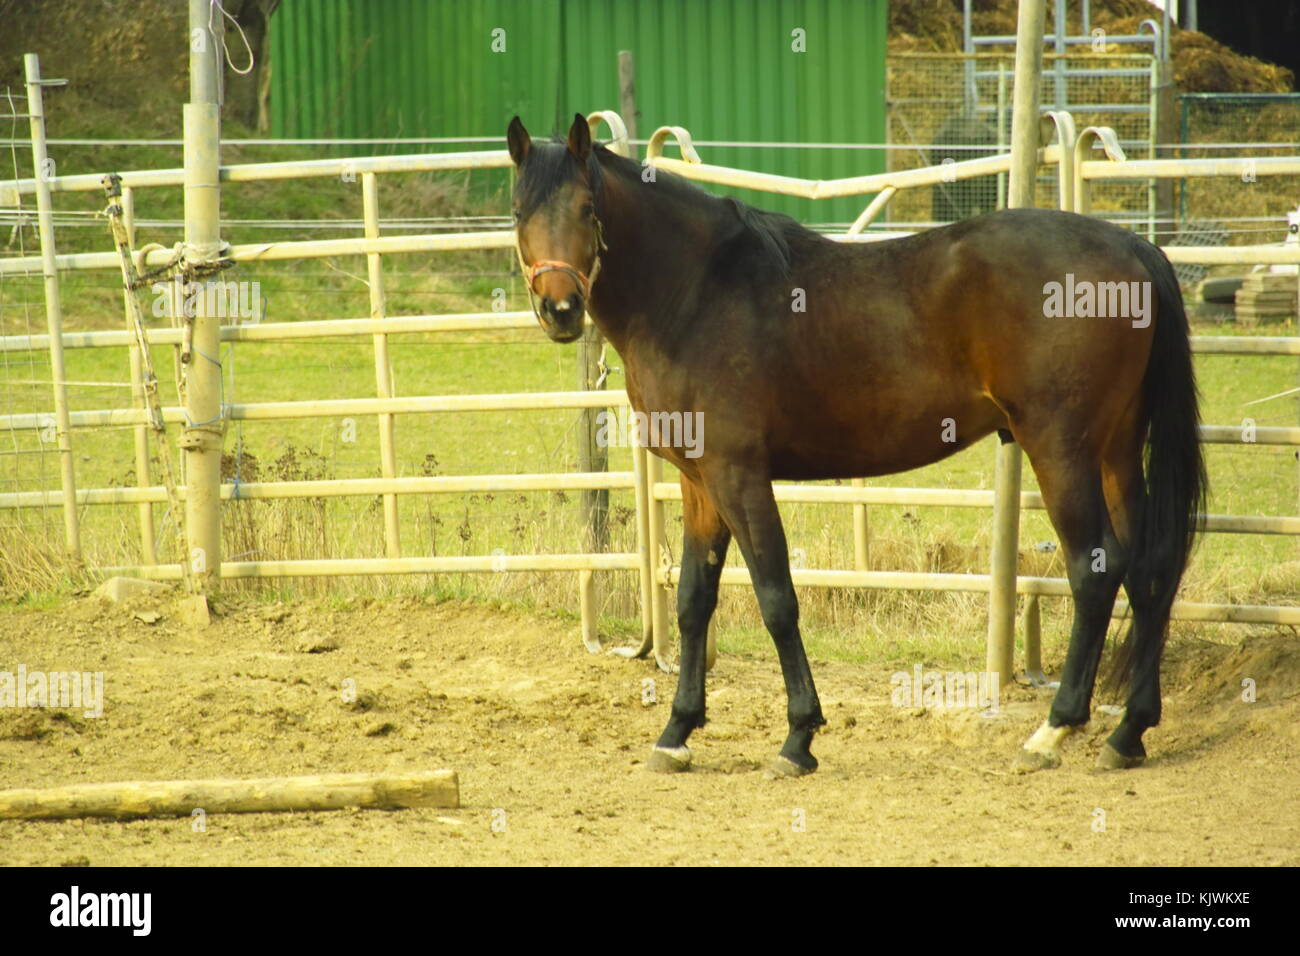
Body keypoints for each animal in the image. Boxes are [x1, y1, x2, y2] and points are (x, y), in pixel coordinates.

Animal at [507, 113, 1206, 777]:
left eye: (587, 209)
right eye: (518, 212)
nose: (561, 309)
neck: (695, 292)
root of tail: (1131, 246)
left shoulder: (739, 475)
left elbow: (776, 597)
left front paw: (798, 738)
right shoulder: (698, 480)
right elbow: (692, 601)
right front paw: (677, 733)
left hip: (1060, 449)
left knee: (1096, 570)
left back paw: (1053, 731)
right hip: (1116, 452)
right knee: (1148, 569)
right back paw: (1128, 732)